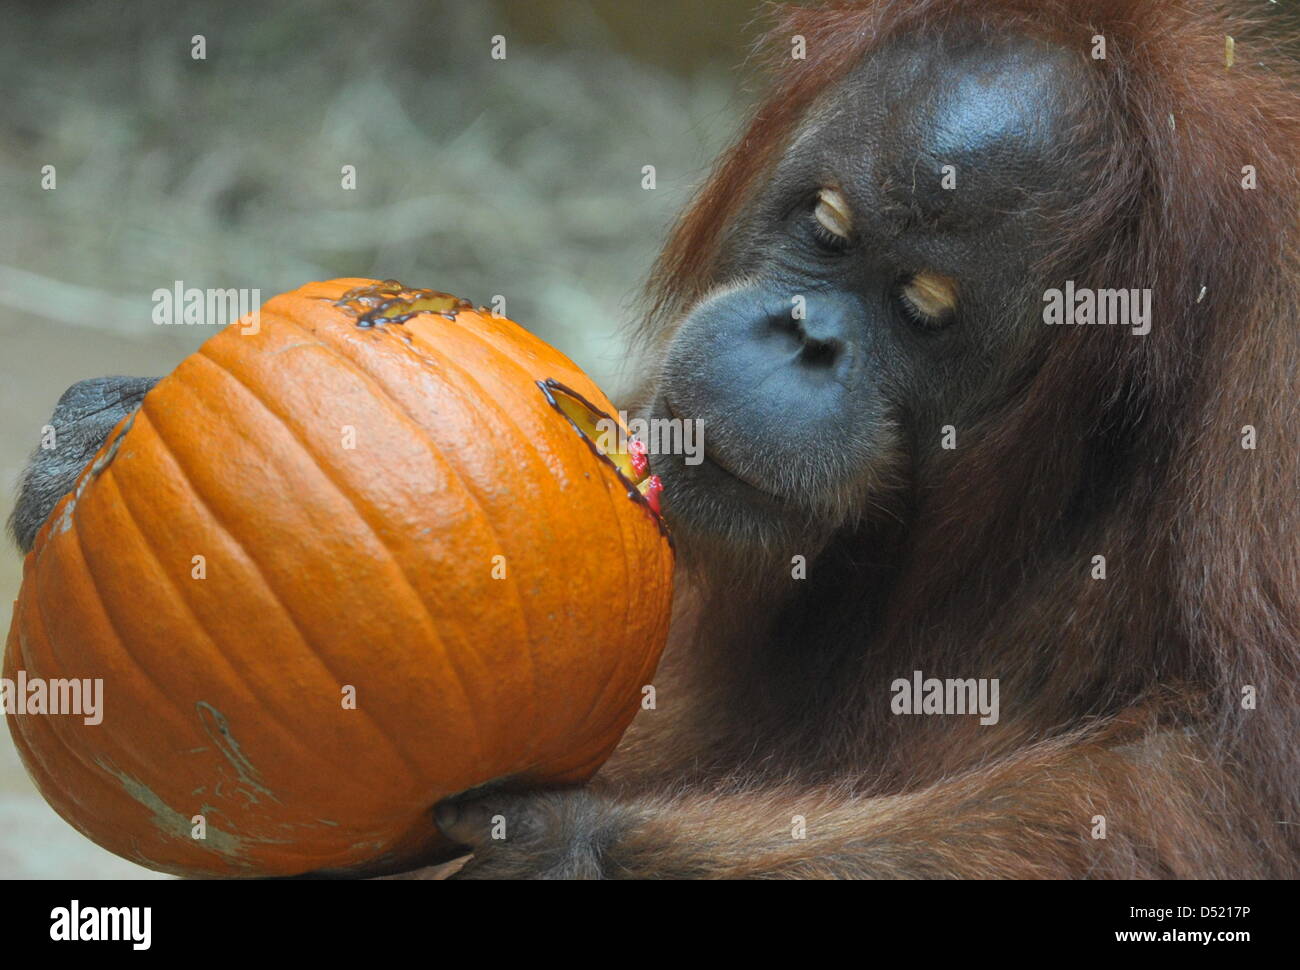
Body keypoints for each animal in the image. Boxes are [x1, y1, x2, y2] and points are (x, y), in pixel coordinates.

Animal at [11, 0, 1299, 878]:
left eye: (924, 306)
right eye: (826, 226)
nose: (803, 335)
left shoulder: (1267, 379)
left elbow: (1221, 790)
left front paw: (576, 844)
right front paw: (97, 438)